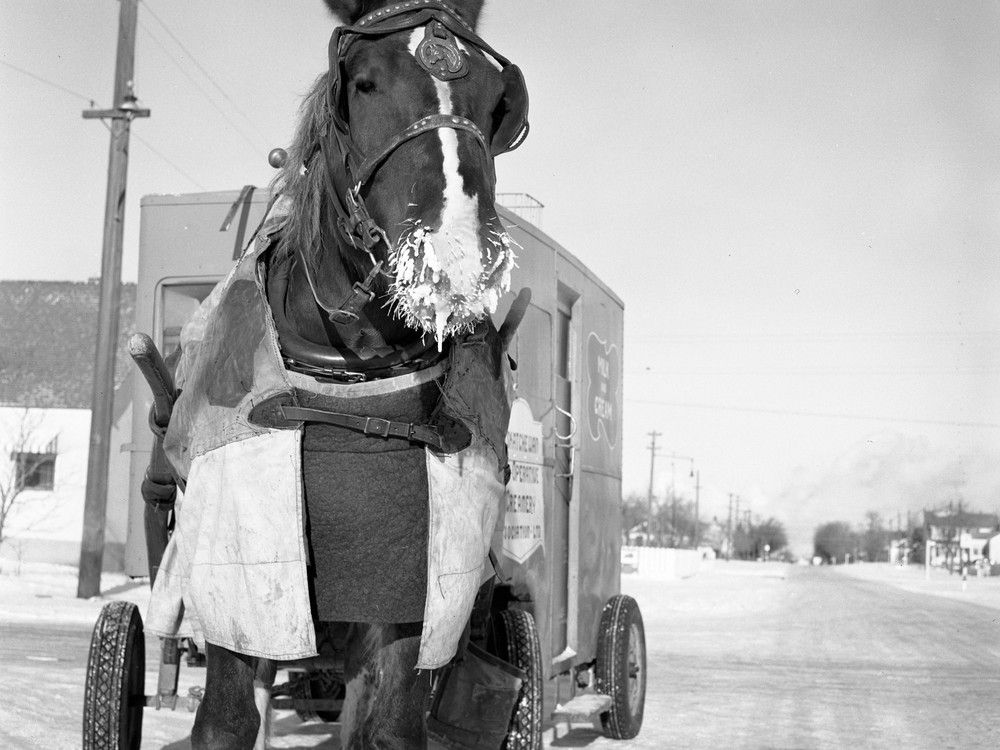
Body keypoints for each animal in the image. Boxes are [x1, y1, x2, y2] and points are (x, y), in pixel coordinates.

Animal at [150, 1, 530, 748]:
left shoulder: (404, 611)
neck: (346, 392)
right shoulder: (242, 595)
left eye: (498, 103)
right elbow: (227, 721)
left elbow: (384, 727)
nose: (455, 253)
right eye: (363, 82)